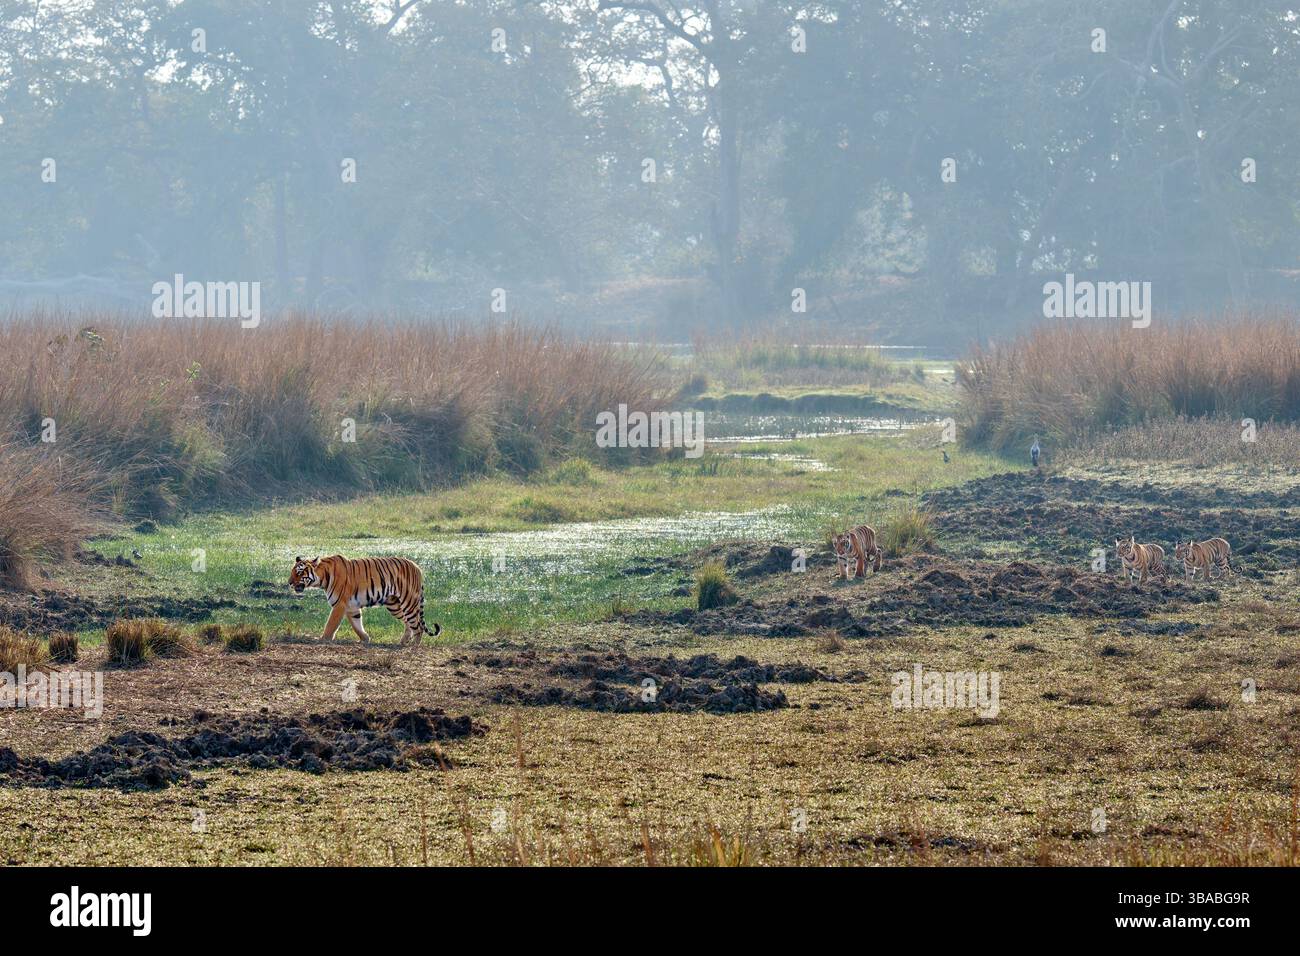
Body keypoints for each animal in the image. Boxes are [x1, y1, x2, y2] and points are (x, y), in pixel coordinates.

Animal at [289, 555, 442, 646]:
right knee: (408, 622)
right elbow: (357, 625)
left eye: (299, 573)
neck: (322, 578)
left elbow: (331, 624)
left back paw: (414, 646)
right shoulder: (351, 607)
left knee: (417, 625)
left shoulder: (339, 605)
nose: (289, 583)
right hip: (394, 605)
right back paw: (403, 641)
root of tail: (417, 567)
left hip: (408, 601)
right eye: (292, 572)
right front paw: (365, 639)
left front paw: (323, 639)